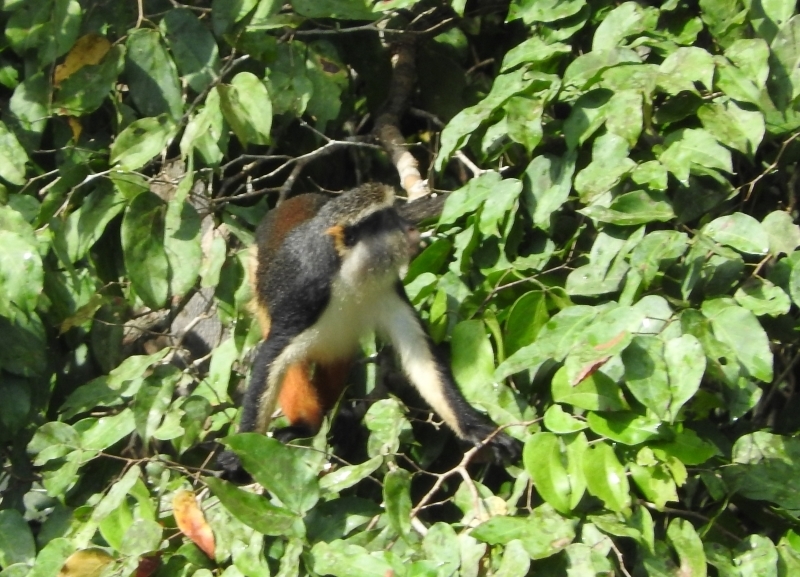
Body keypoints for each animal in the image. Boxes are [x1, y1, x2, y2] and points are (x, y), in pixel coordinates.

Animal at [219, 184, 521, 476]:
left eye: (395, 214)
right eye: (385, 220)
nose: (410, 228)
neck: (351, 276)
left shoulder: (388, 290)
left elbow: (421, 358)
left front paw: (477, 430)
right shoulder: (305, 299)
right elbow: (271, 357)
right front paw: (237, 455)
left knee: (336, 353)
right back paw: (307, 427)